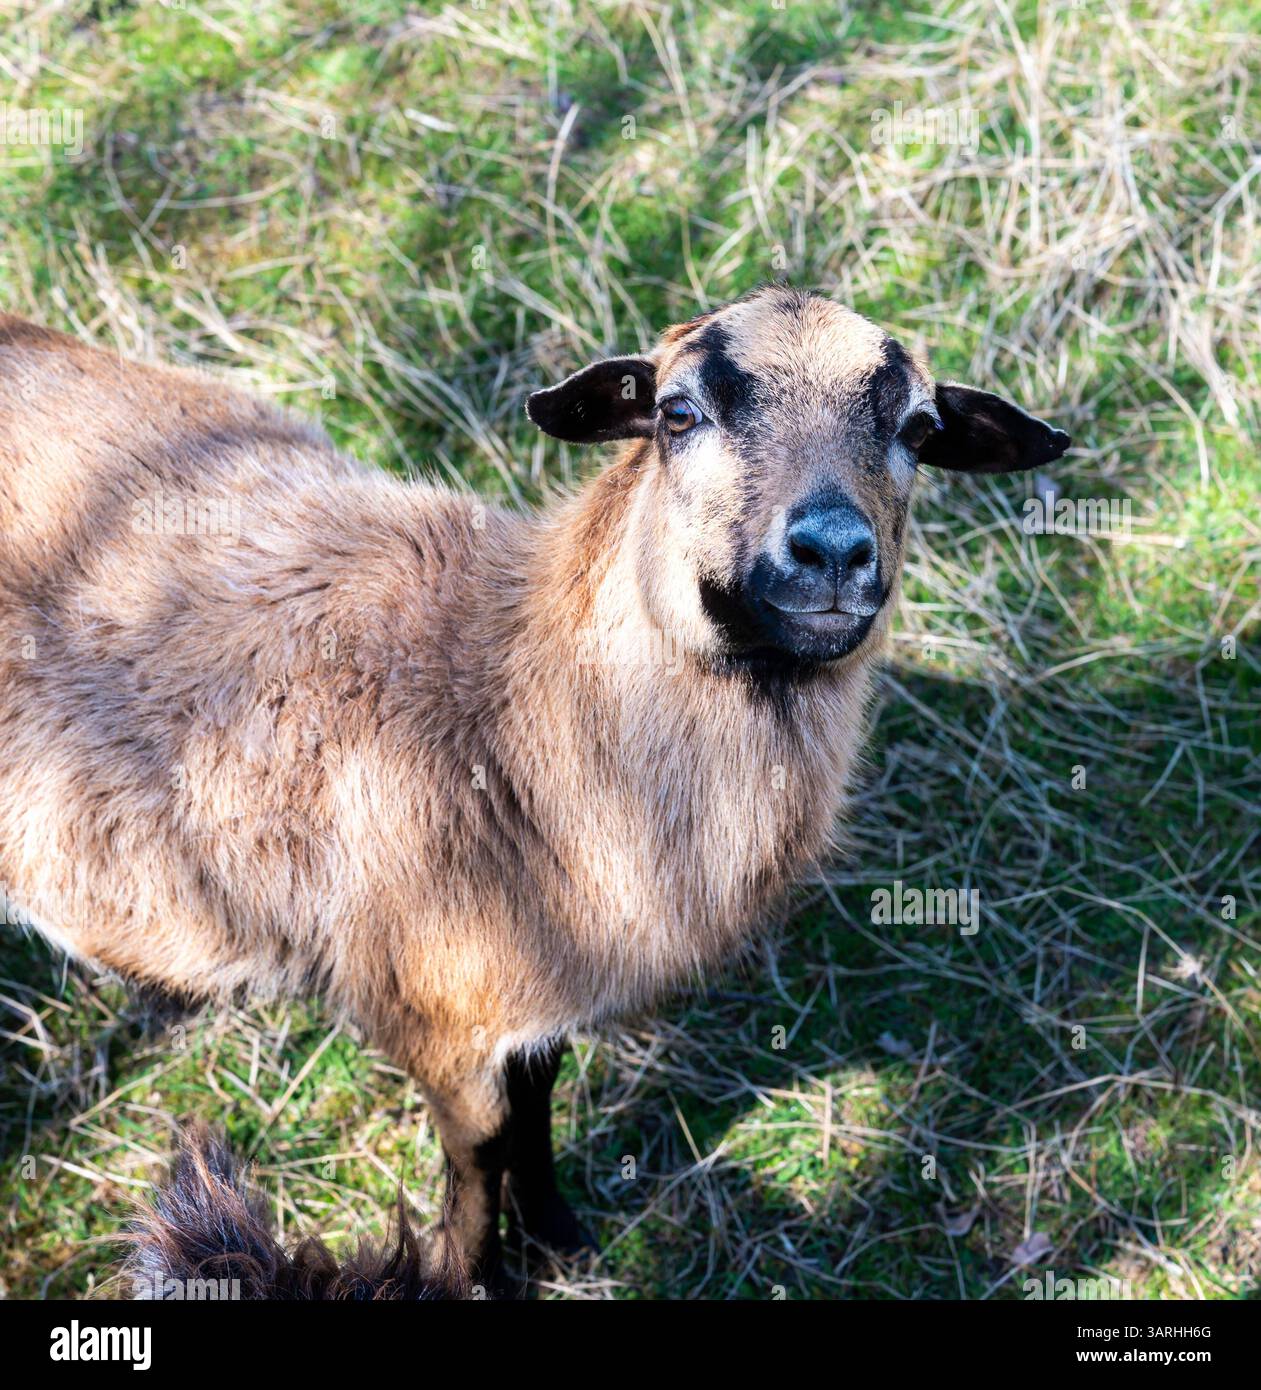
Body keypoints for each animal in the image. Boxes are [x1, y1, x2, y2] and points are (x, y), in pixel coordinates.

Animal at [0, 286, 1068, 1284]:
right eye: (677, 413)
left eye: (918, 431)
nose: (834, 553)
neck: (506, 710)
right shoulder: (430, 1008)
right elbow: (480, 1154)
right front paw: (473, 1272)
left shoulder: (537, 983)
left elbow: (539, 1107)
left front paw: (560, 1237)